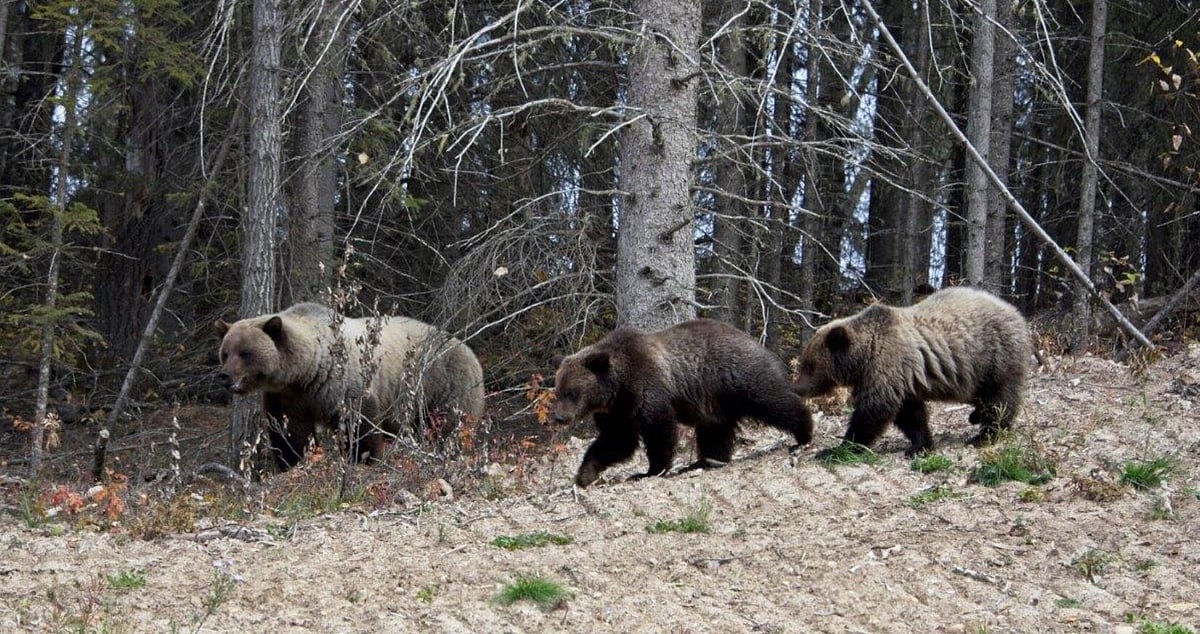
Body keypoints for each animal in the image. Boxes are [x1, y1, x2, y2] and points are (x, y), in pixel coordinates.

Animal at [215, 302, 485, 470]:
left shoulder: (341, 385)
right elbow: (290, 432)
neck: (307, 370)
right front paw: (292, 462)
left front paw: (363, 458)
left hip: (442, 383)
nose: (224, 375)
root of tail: (468, 349)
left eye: (245, 353)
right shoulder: (286, 397)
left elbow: (359, 424)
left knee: (451, 425)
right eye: (225, 353)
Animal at [550, 318, 813, 488]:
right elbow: (616, 440)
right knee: (715, 431)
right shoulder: (617, 411)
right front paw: (585, 474)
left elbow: (658, 430)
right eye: (558, 391)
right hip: (717, 400)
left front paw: (651, 471)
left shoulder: (647, 387)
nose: (559, 417)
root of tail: (757, 342)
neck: (618, 386)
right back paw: (704, 461)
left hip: (738, 377)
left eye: (572, 392)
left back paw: (804, 433)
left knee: (773, 401)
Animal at [793, 286, 1034, 458]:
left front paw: (837, 449)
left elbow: (873, 411)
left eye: (809, 365)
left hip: (995, 355)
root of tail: (1016, 313)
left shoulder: (886, 366)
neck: (863, 357)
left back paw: (986, 434)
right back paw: (976, 416)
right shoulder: (903, 379)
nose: (798, 388)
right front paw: (920, 445)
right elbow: (910, 416)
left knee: (1000, 398)